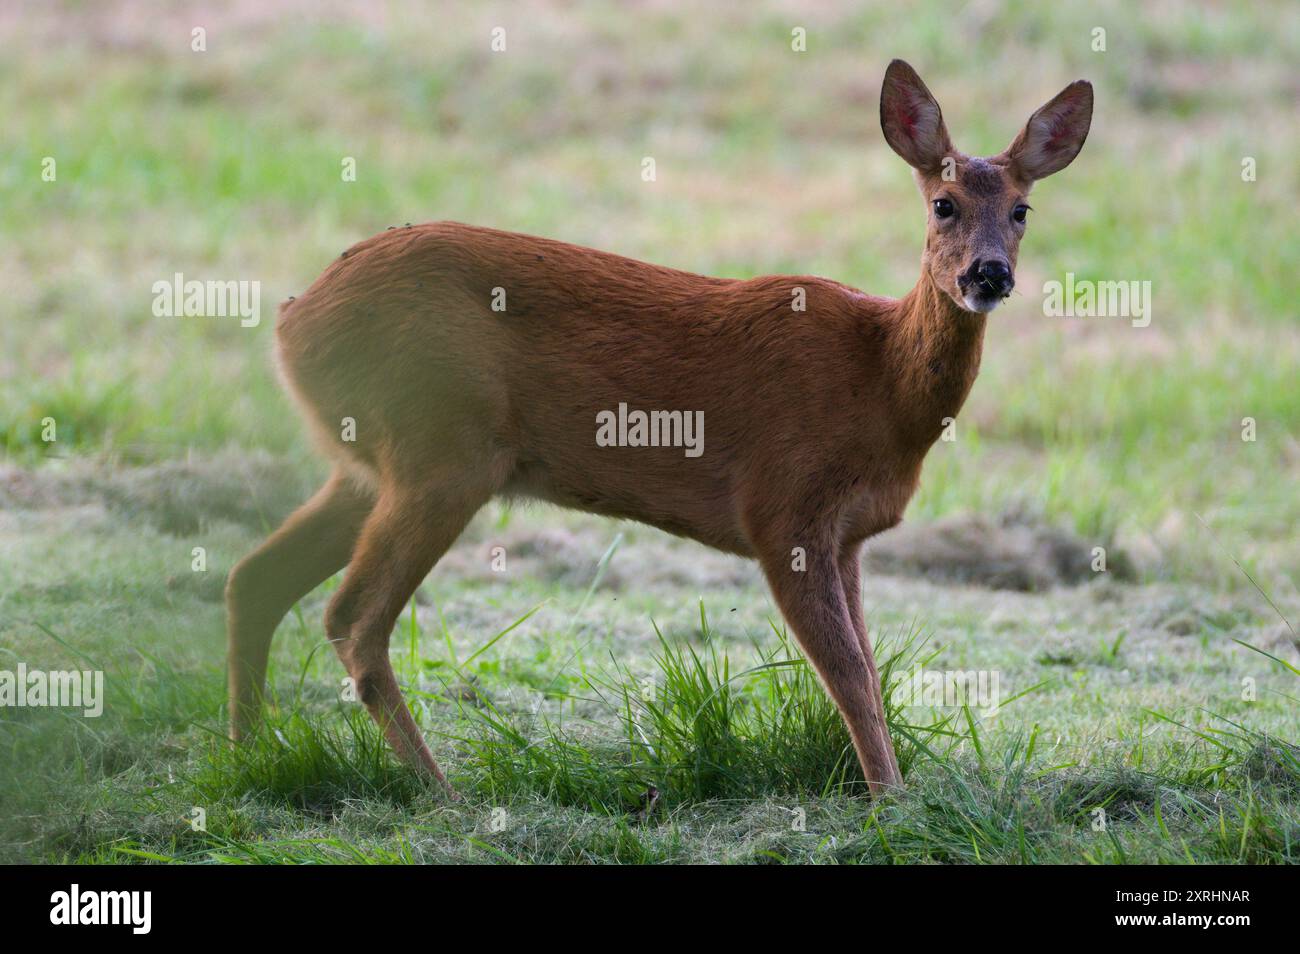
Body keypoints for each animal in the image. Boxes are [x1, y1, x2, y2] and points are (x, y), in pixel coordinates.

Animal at [225, 60, 1092, 798]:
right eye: (943, 205)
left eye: (1022, 210)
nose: (989, 274)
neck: (880, 382)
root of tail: (292, 320)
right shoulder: (783, 511)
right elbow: (847, 674)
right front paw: (891, 803)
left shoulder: (846, 536)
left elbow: (871, 674)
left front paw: (891, 792)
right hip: (441, 449)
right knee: (351, 619)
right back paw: (440, 792)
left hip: (372, 463)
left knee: (254, 576)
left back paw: (244, 758)